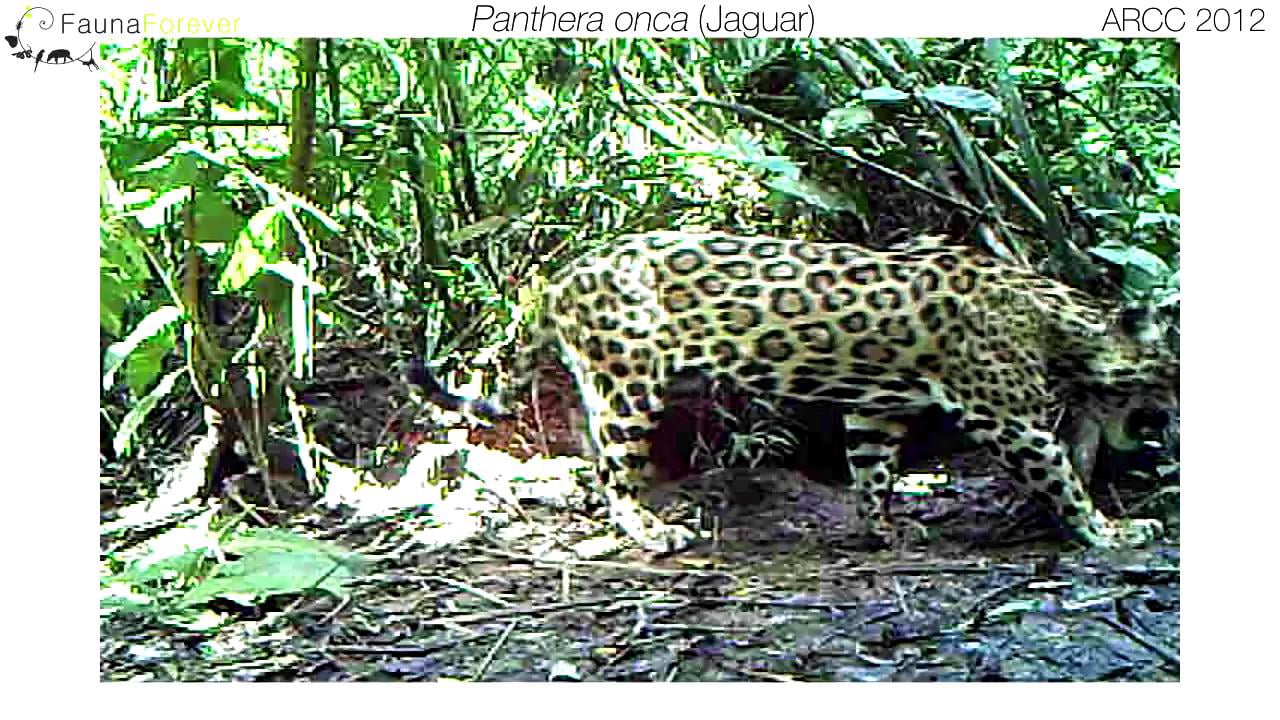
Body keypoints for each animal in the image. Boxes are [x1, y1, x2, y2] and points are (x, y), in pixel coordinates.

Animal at [431, 231, 1179, 553]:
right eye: (1173, 371)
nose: (1174, 420)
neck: (1059, 321)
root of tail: (563, 275)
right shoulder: (1009, 420)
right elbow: (1063, 481)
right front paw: (1111, 531)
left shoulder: (877, 408)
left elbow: (873, 471)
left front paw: (882, 527)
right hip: (629, 385)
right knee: (613, 470)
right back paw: (651, 529)